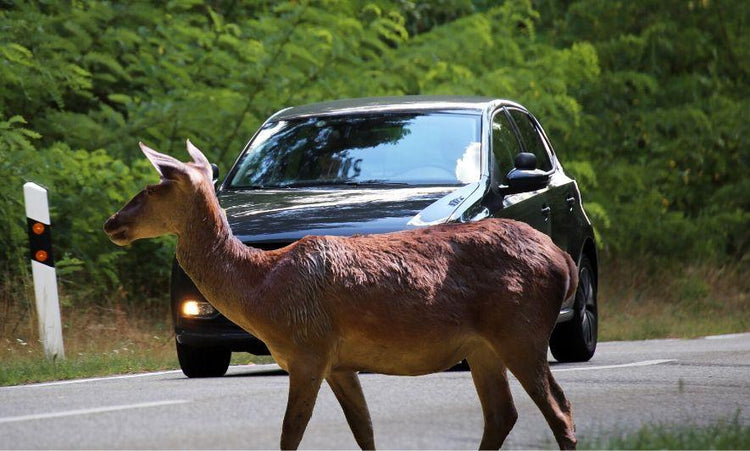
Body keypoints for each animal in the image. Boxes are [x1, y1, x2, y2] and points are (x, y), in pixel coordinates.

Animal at [104, 140, 579, 450]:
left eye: (153, 188)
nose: (112, 222)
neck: (262, 290)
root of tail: (563, 258)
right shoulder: (339, 362)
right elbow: (364, 430)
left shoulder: (308, 349)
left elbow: (290, 433)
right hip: (483, 347)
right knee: (502, 415)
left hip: (520, 329)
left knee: (559, 410)